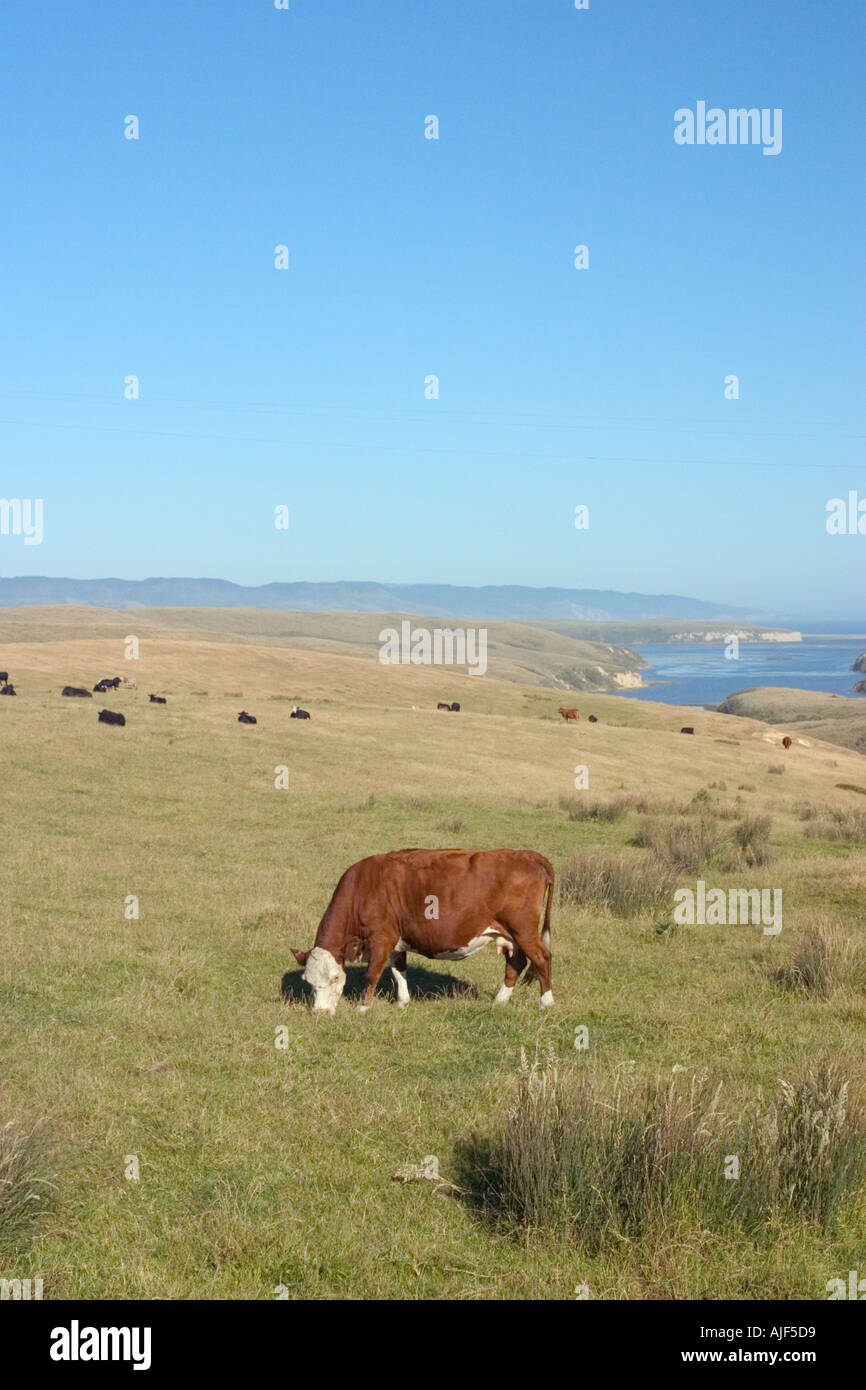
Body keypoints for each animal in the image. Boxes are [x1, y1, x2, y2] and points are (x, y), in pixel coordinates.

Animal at [290, 848, 554, 1016]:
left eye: (335, 978)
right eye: (308, 982)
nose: (320, 1012)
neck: (364, 887)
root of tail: (527, 854)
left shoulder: (381, 938)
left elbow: (372, 974)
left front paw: (363, 1008)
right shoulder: (396, 941)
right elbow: (398, 971)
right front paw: (402, 1002)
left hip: (523, 930)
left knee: (542, 959)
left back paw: (546, 1004)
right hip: (511, 935)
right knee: (516, 963)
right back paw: (499, 1002)